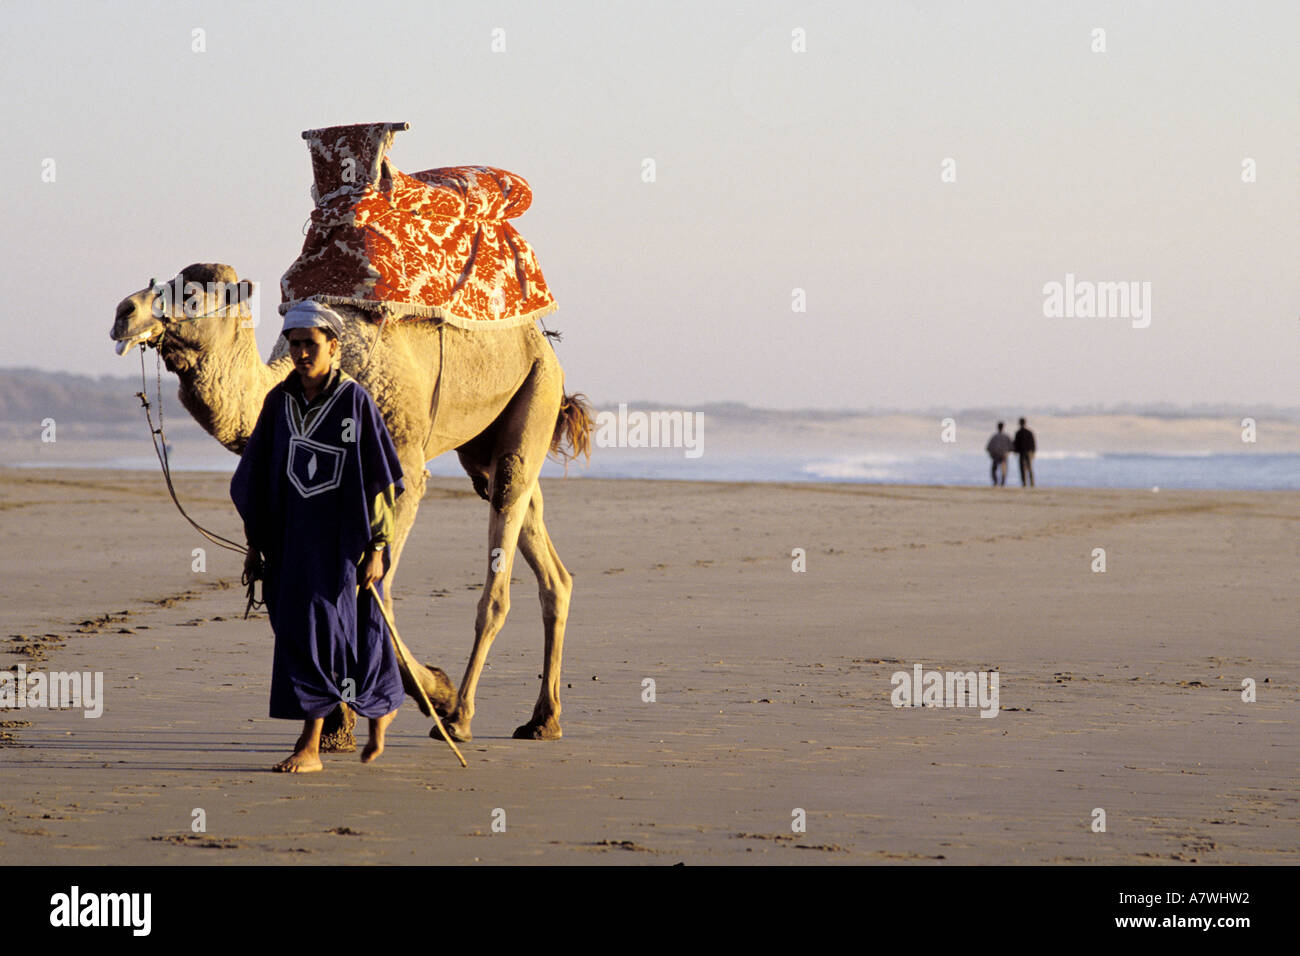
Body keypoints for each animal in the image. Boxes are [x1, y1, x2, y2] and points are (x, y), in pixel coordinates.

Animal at [110, 261, 591, 746]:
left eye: (192, 293)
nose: (124, 312)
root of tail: (542, 343)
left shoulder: (404, 470)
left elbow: (374, 591)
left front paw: (437, 691)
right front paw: (336, 729)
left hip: (537, 386)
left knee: (502, 550)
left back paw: (459, 715)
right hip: (485, 444)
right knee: (546, 557)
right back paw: (543, 719)